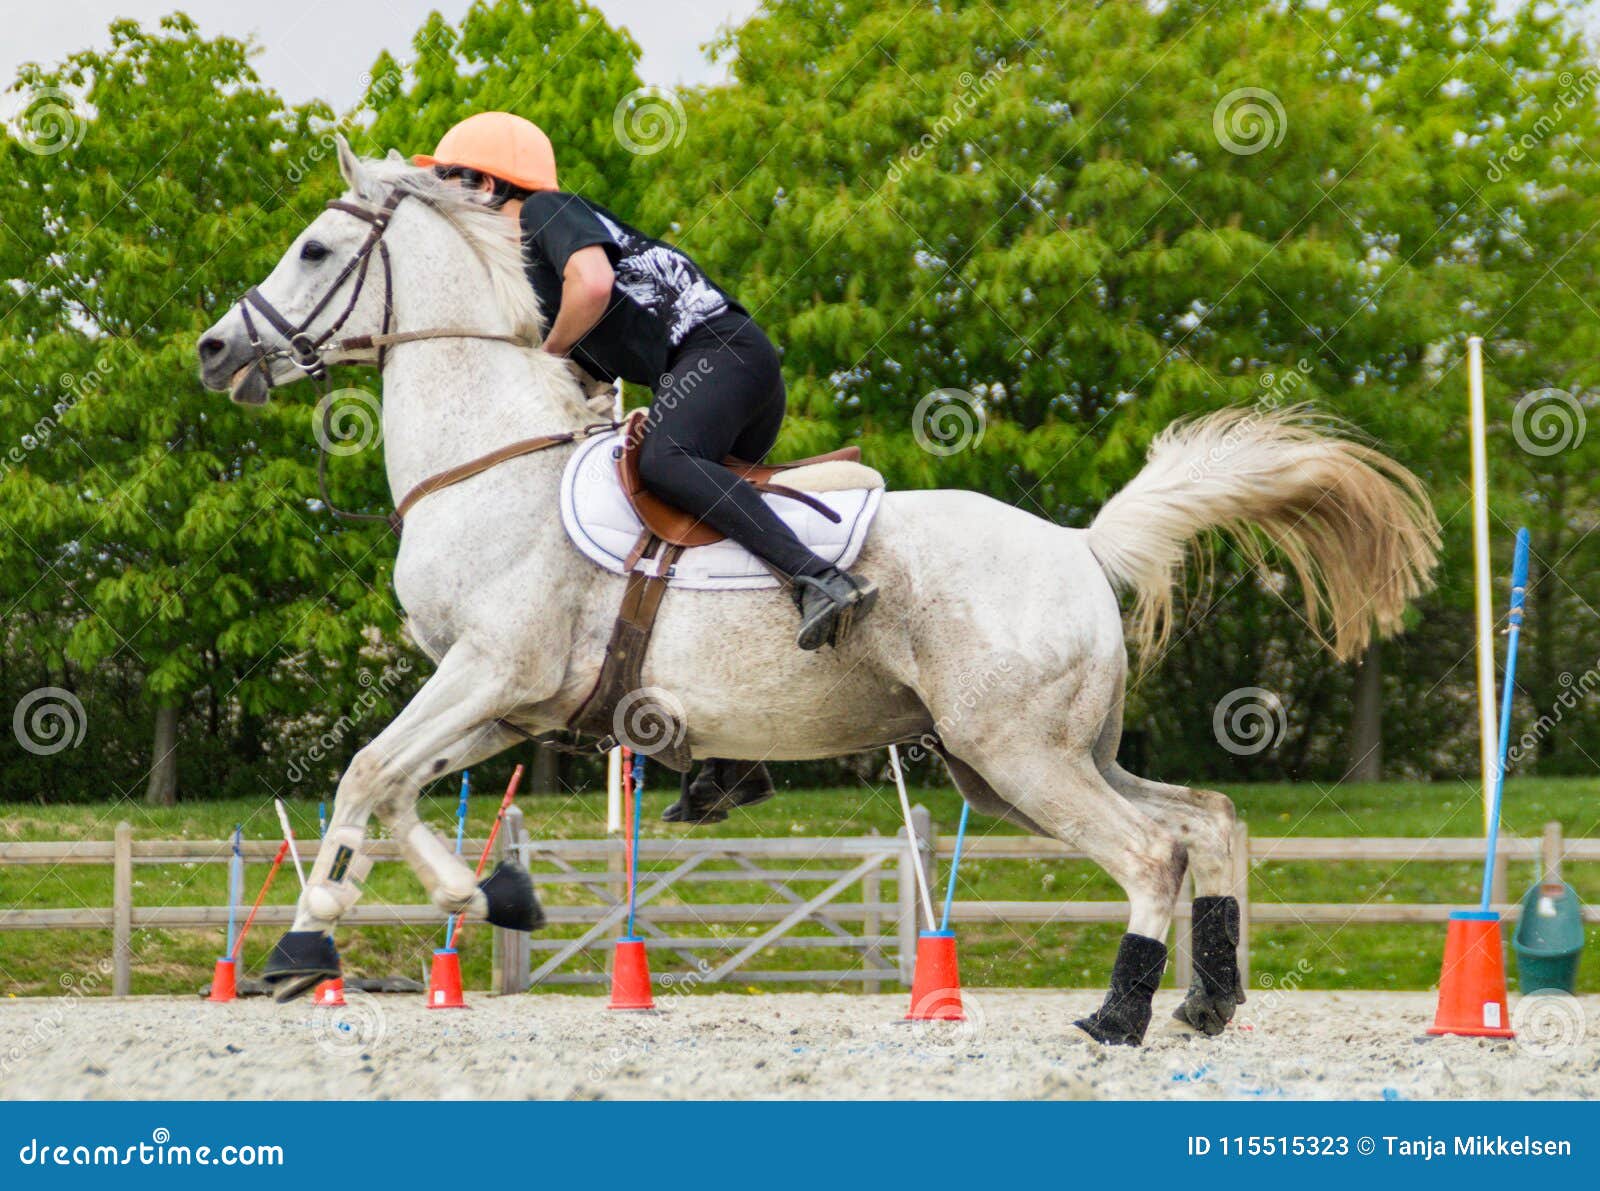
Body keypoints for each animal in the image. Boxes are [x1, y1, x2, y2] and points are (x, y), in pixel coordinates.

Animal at [195, 137, 1438, 1045]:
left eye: (314, 250)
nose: (213, 352)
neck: (488, 460)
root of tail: (1078, 545)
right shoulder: (509, 701)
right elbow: (398, 787)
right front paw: (482, 900)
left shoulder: (488, 670)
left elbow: (365, 772)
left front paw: (307, 939)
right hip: (1030, 760)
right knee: (1208, 821)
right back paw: (1206, 1001)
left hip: (1021, 757)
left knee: (1149, 854)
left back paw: (1118, 1016)